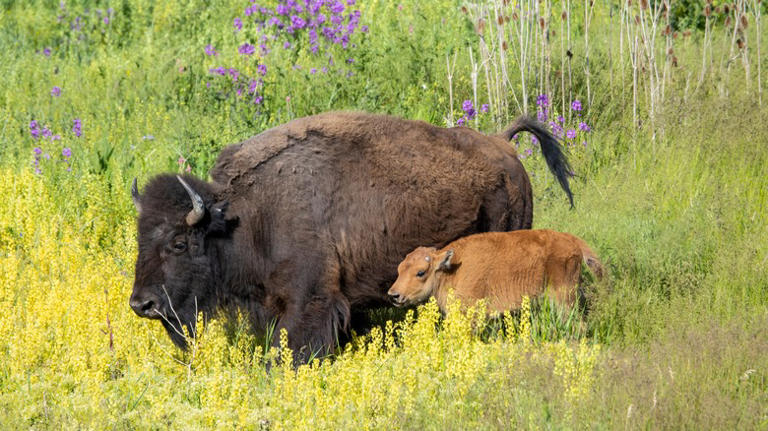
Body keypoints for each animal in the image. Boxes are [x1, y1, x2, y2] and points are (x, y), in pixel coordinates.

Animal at [129, 111, 572, 361]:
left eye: (179, 243)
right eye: (140, 239)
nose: (141, 303)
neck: (243, 216)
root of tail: (502, 144)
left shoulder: (311, 299)